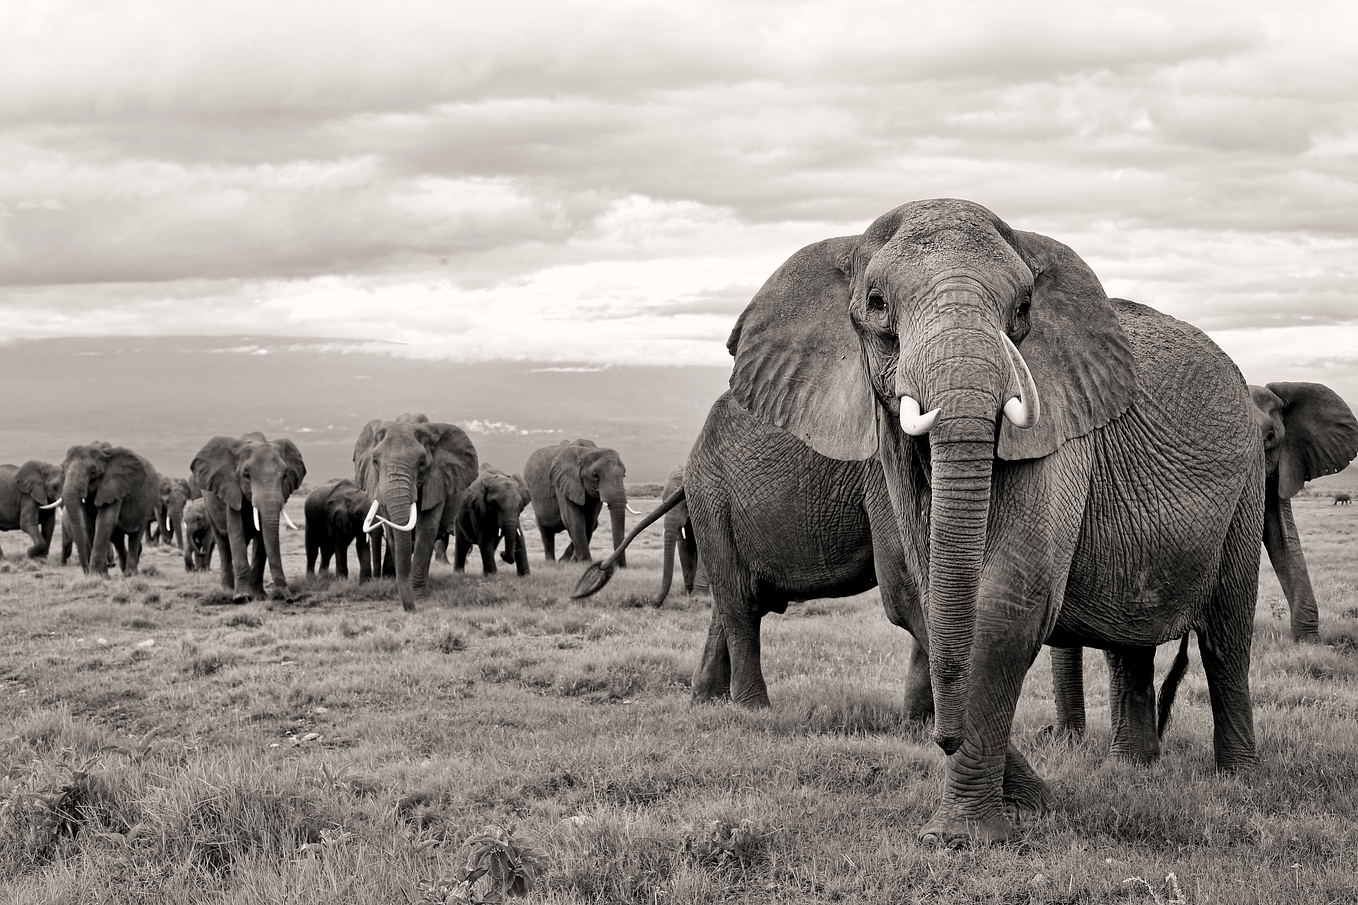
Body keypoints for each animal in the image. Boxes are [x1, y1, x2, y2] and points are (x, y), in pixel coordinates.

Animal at [60, 443, 162, 576]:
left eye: (93, 472)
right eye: (63, 470)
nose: (86, 572)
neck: (104, 454)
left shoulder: (115, 487)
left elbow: (105, 521)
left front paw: (96, 575)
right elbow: (89, 524)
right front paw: (102, 576)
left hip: (149, 502)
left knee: (136, 535)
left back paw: (130, 573)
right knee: (117, 539)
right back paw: (124, 570)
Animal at [191, 432, 306, 601]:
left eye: (285, 475)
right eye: (246, 475)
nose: (290, 598)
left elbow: (262, 538)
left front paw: (259, 597)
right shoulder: (231, 488)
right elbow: (235, 530)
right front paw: (242, 597)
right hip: (209, 507)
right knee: (223, 543)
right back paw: (227, 591)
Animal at [353, 414, 479, 611]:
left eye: (421, 464)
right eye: (375, 462)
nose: (410, 610)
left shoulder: (436, 482)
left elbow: (426, 530)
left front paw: (419, 594)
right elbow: (393, 533)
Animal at [726, 198, 1265, 845]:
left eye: (1023, 308)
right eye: (877, 304)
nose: (942, 736)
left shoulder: (1058, 423)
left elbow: (1007, 600)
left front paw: (962, 837)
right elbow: (926, 602)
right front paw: (1036, 801)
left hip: (1249, 479)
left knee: (1227, 635)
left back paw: (1240, 783)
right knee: (1129, 645)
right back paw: (1132, 772)